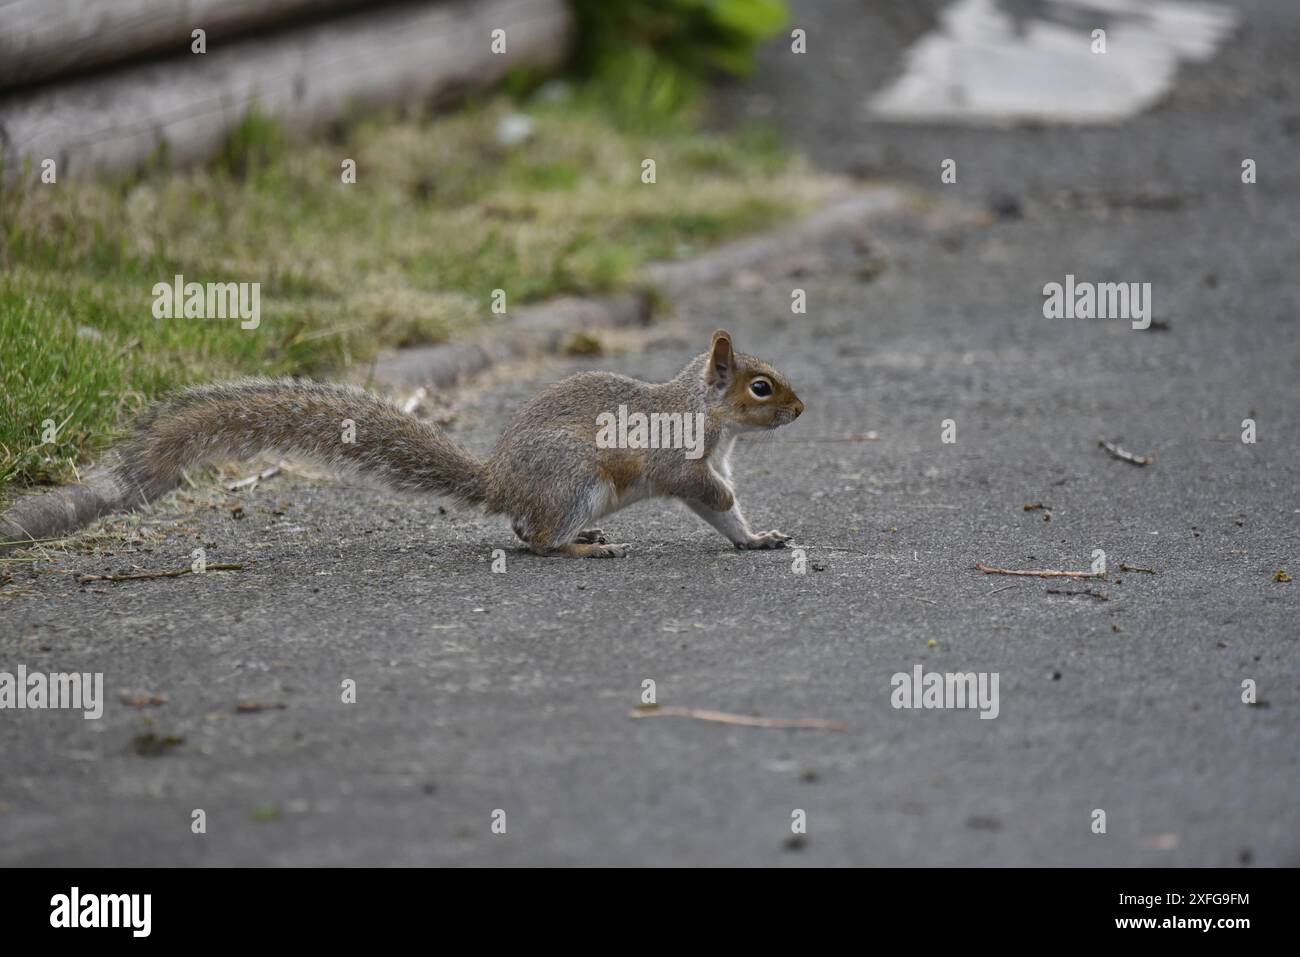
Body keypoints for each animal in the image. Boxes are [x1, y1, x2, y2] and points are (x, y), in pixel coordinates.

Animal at [111, 329, 804, 558]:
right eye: (761, 387)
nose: (800, 409)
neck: (703, 411)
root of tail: (500, 482)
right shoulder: (678, 458)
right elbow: (705, 490)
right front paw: (745, 521)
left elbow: (723, 513)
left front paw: (756, 539)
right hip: (575, 479)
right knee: (538, 542)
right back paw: (585, 548)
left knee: (524, 531)